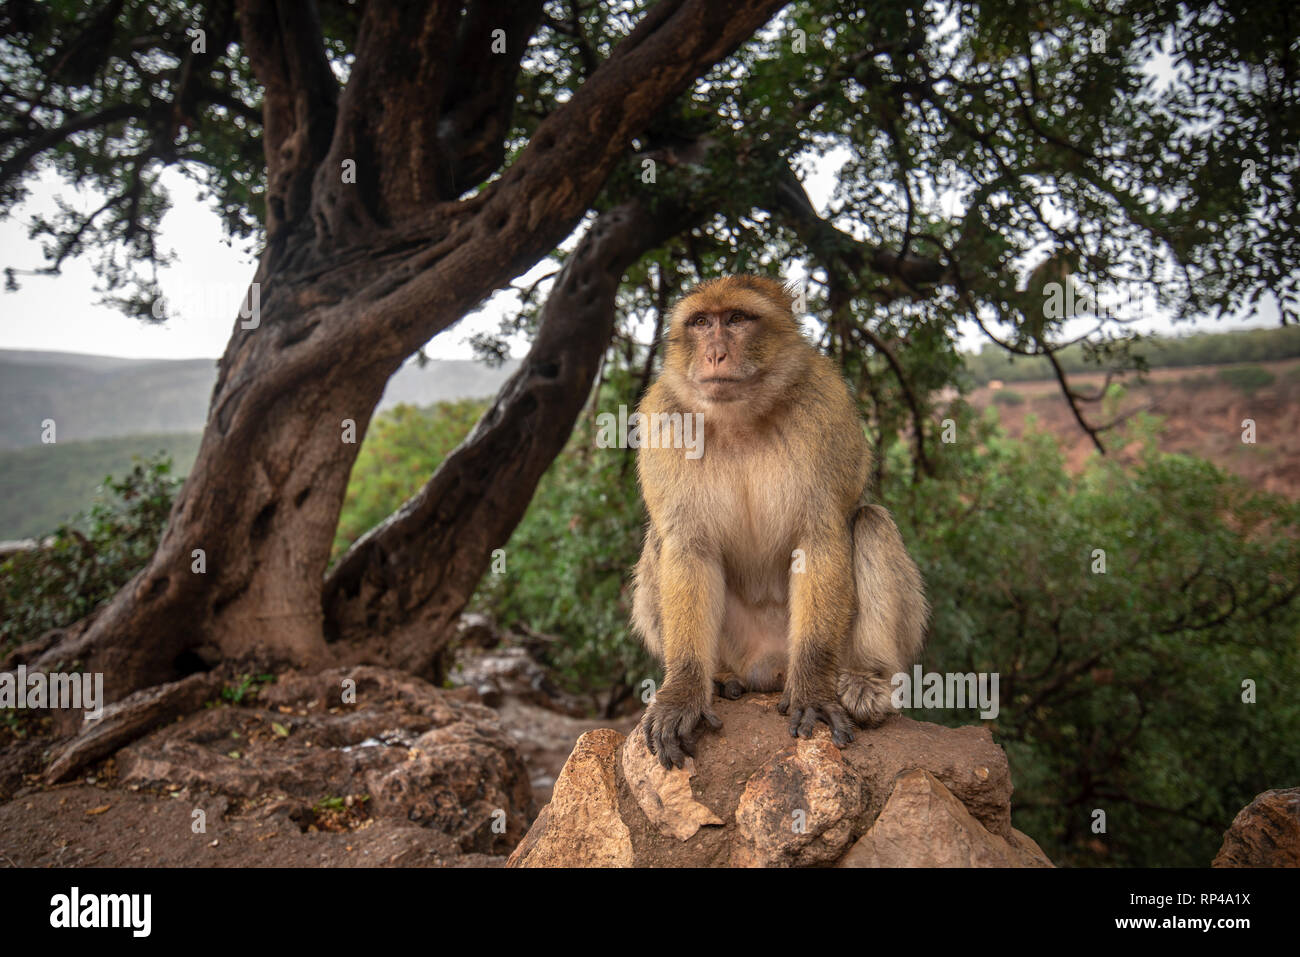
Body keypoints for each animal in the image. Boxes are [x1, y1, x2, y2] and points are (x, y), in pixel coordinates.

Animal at [630, 274, 927, 769]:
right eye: (700, 322)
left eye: (736, 318)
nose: (714, 353)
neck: (740, 418)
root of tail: (766, 669)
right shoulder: (664, 420)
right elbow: (688, 546)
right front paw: (683, 693)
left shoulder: (825, 408)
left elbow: (821, 538)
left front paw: (812, 692)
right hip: (737, 644)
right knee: (660, 540)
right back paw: (718, 677)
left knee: (870, 522)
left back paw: (866, 680)